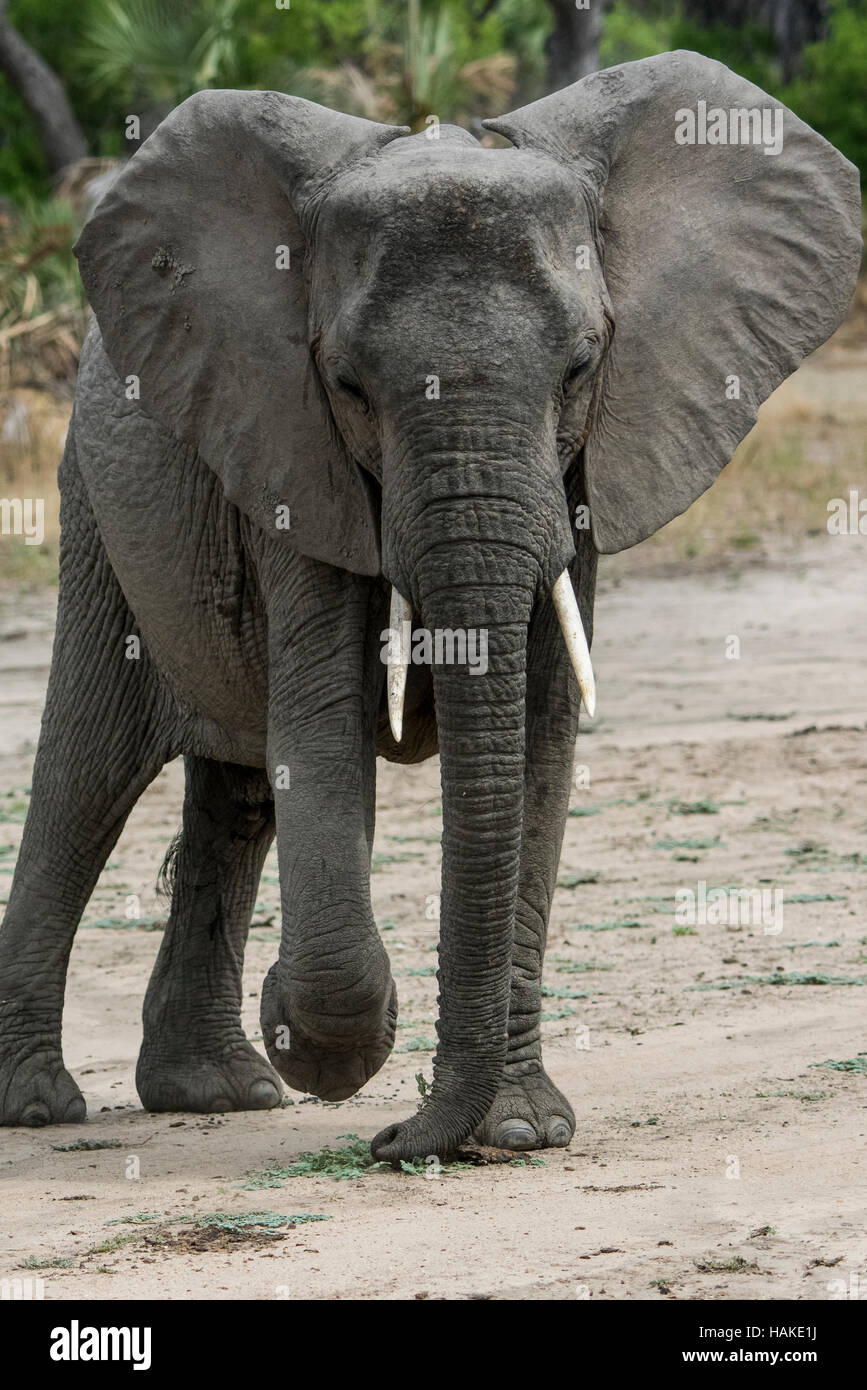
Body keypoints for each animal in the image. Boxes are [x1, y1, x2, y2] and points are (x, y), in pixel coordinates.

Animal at [0, 51, 860, 1162]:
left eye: (582, 367)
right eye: (348, 385)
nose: (394, 1137)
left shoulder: (578, 476)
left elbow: (537, 735)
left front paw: (522, 1131)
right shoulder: (289, 441)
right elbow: (322, 724)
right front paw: (326, 1042)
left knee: (234, 791)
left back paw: (216, 1092)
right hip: (94, 506)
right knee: (87, 776)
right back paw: (40, 1105)